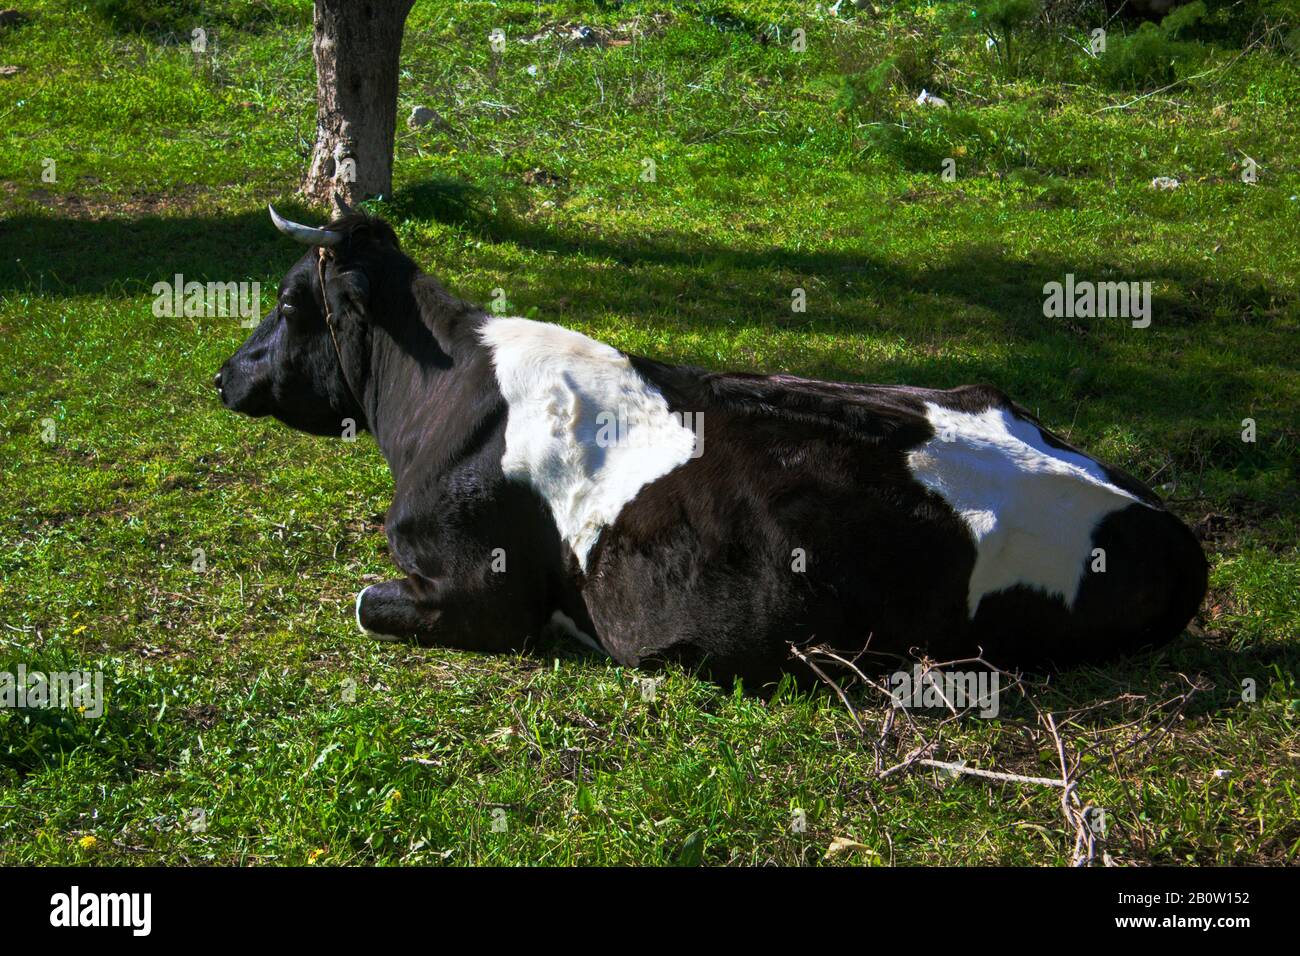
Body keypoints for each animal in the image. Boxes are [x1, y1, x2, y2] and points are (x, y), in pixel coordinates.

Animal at [214, 204, 1208, 687]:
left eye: (291, 300)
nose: (224, 374)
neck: (435, 401)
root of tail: (1168, 524)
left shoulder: (482, 597)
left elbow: (361, 603)